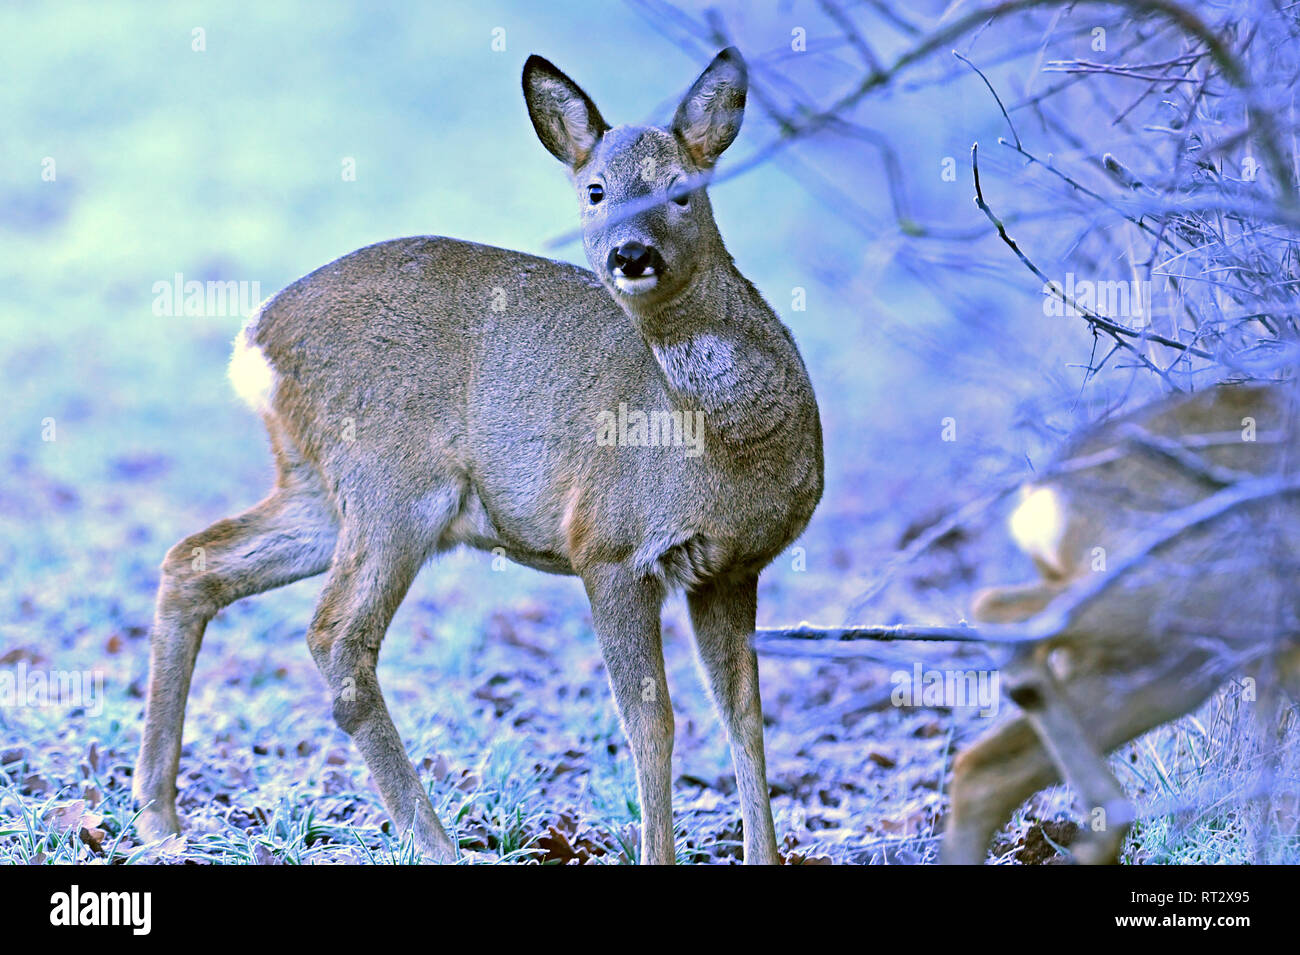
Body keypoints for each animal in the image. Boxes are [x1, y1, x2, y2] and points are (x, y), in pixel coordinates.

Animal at [131, 48, 824, 865]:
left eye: (683, 190)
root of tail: (255, 342)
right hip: (393, 482)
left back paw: (158, 816)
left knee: (193, 560)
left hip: (319, 486)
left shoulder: (733, 566)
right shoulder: (609, 545)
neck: (721, 444)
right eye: (595, 191)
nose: (631, 255)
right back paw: (434, 842)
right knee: (335, 637)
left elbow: (745, 720)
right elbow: (652, 725)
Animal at [943, 381, 1300, 864]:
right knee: (996, 609)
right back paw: (1105, 824)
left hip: (1165, 664)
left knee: (981, 771)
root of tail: (1044, 497)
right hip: (1176, 594)